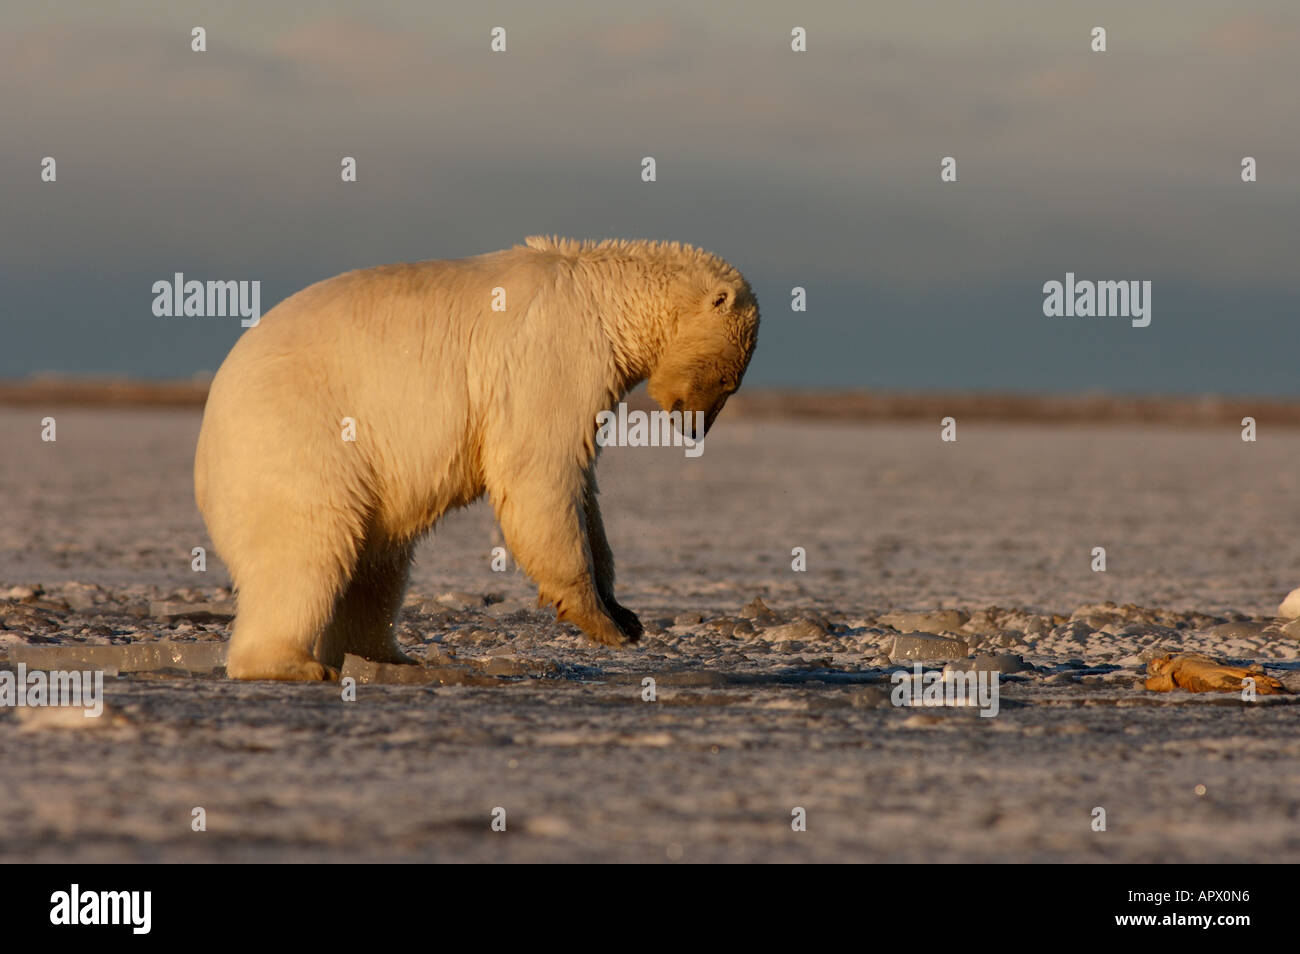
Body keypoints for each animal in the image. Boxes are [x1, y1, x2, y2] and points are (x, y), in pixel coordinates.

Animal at [194, 236, 760, 680]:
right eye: (729, 380)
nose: (695, 427)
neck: (605, 296)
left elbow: (583, 491)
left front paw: (625, 613)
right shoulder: (553, 353)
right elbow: (541, 469)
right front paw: (601, 622)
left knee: (378, 565)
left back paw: (389, 657)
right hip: (301, 435)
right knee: (307, 547)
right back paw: (294, 663)